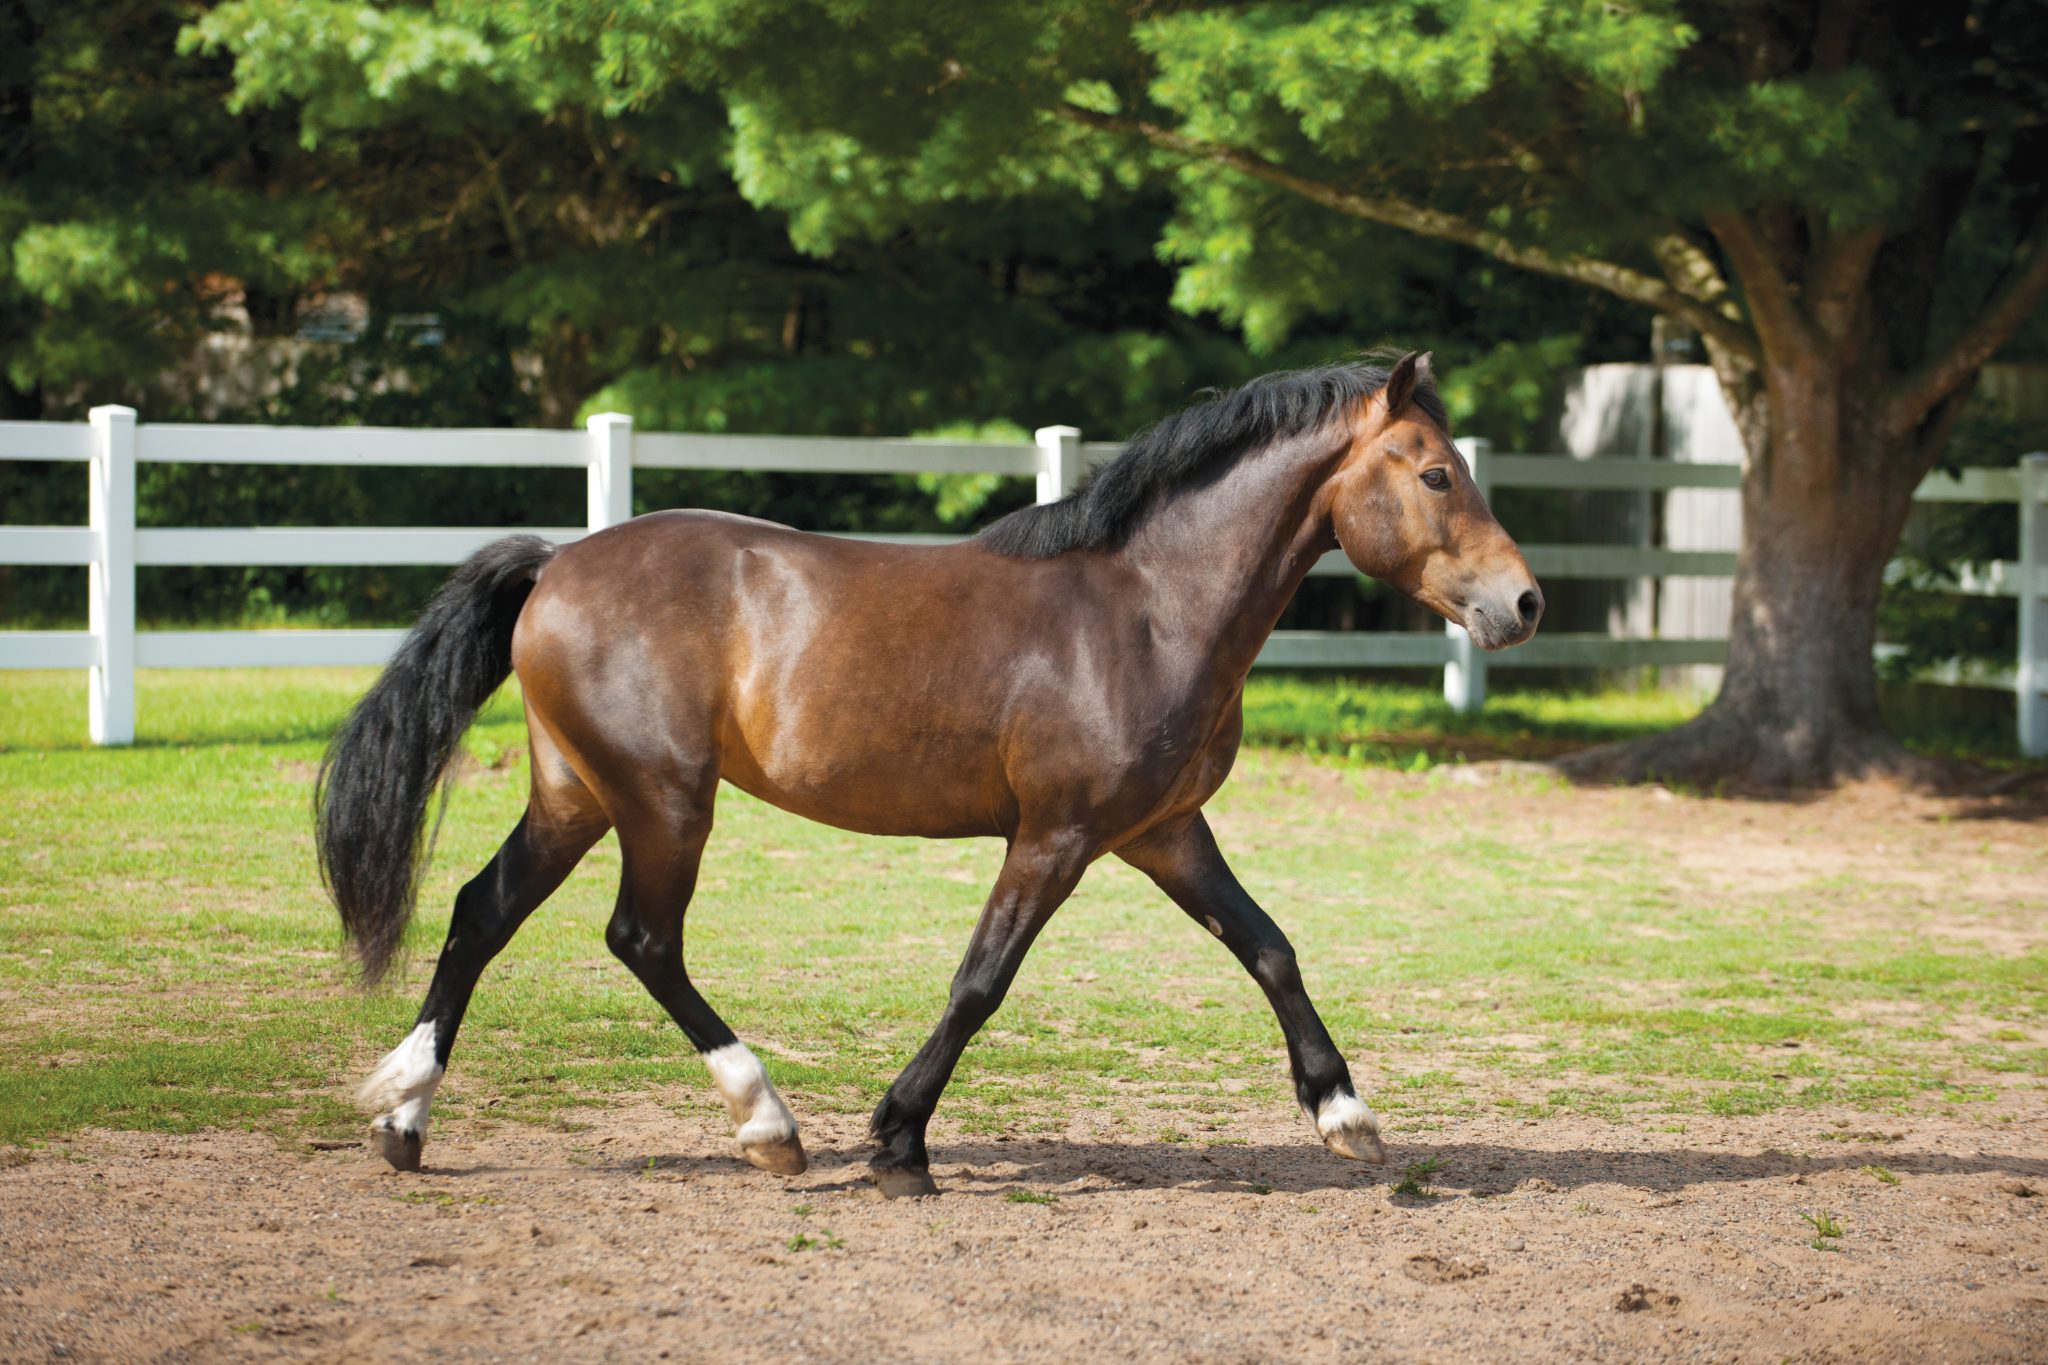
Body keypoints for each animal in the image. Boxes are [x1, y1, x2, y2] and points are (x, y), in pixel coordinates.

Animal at [318, 351, 1542, 1196]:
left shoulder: (1163, 832)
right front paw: (898, 1142)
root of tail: (558, 562)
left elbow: (1269, 947)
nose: (1523, 603)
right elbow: (980, 980)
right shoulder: (1056, 835)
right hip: (662, 801)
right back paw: (769, 1127)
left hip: (576, 795)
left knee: (481, 912)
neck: (1147, 608)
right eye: (1437, 474)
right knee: (641, 939)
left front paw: (1345, 1113)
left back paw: (403, 1120)